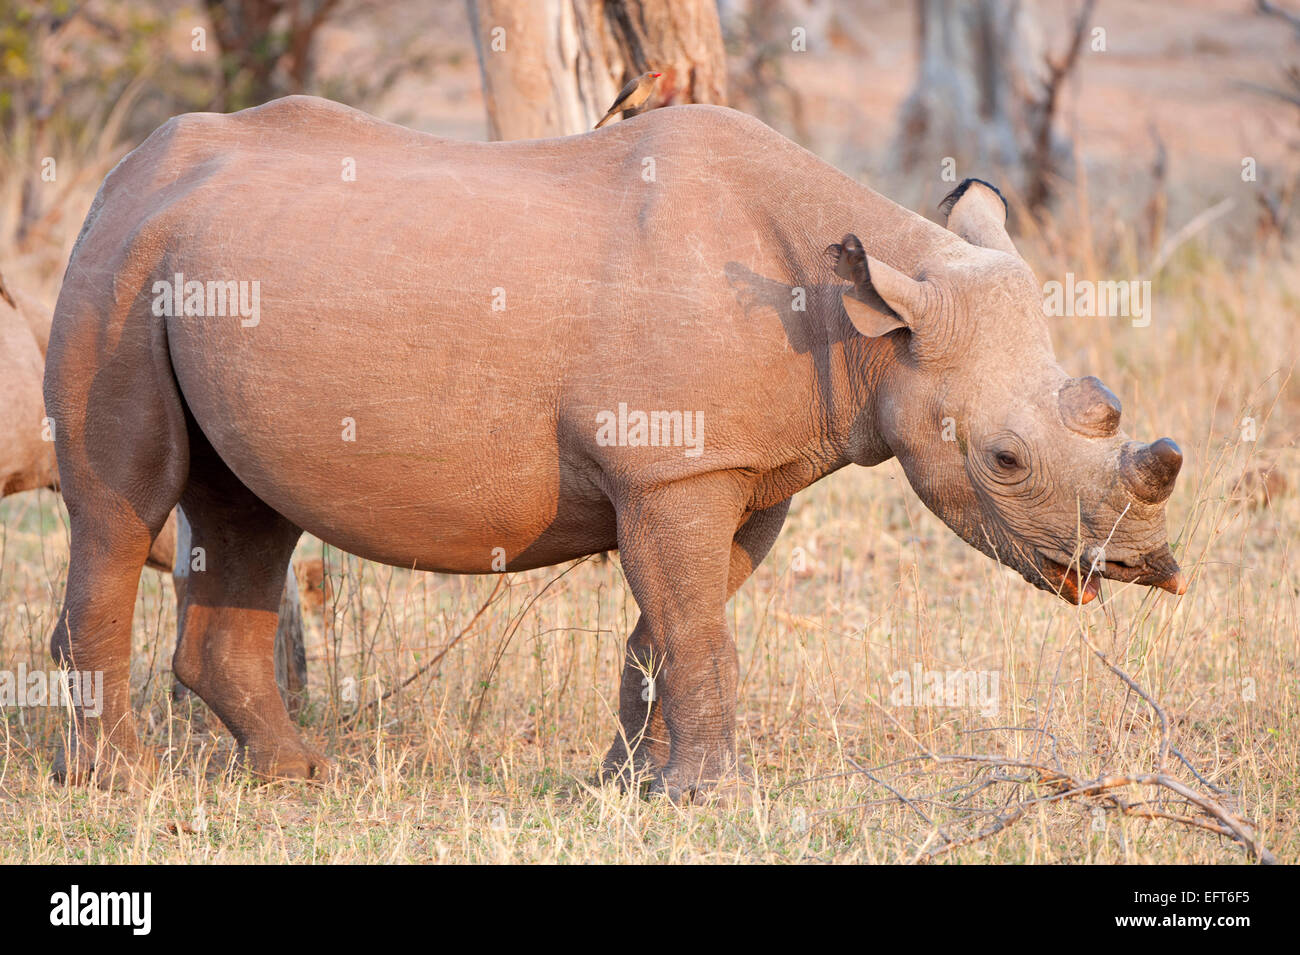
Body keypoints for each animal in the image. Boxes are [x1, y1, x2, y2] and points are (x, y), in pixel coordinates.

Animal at [45, 96, 1184, 799]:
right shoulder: (672, 468)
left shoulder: (735, 472)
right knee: (121, 503)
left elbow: (673, 626)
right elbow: (696, 628)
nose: (1143, 567)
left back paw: (300, 776)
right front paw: (711, 796)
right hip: (120, 267)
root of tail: (119, 178)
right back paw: (120, 783)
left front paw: (631, 785)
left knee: (247, 511)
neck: (867, 330)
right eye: (1004, 460)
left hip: (199, 266)